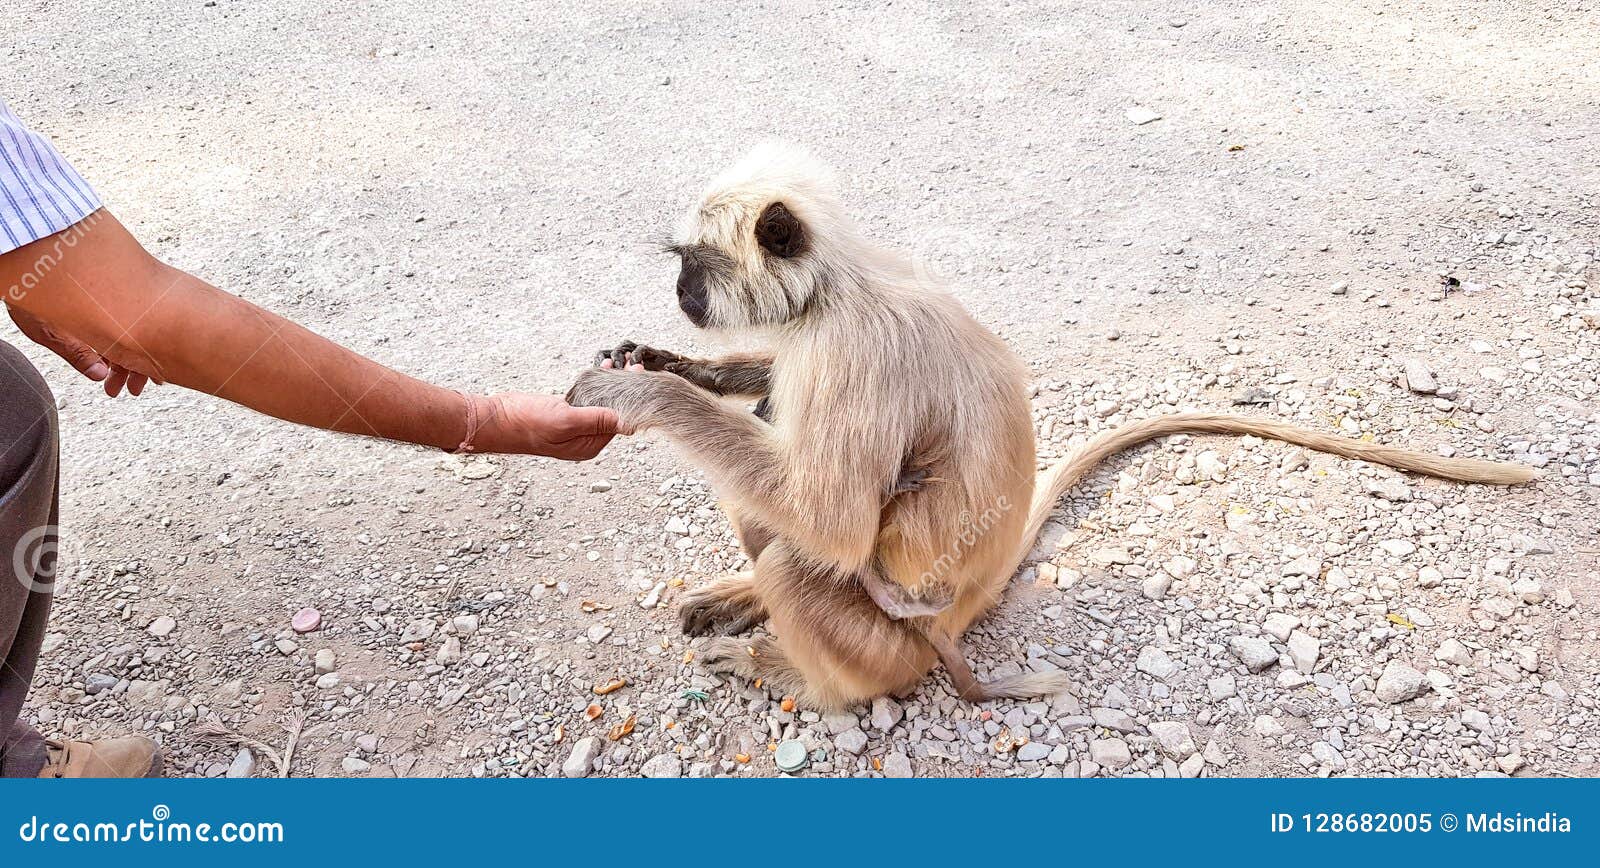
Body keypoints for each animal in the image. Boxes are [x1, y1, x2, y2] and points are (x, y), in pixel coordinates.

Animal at [565, 143, 1536, 711]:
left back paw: (809, 682)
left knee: (804, 557)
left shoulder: (853, 353)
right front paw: (663, 364)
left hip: (887, 642)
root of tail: (960, 617)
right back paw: (744, 597)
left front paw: (644, 399)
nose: (681, 295)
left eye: (697, 264)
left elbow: (833, 519)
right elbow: (771, 391)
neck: (838, 288)